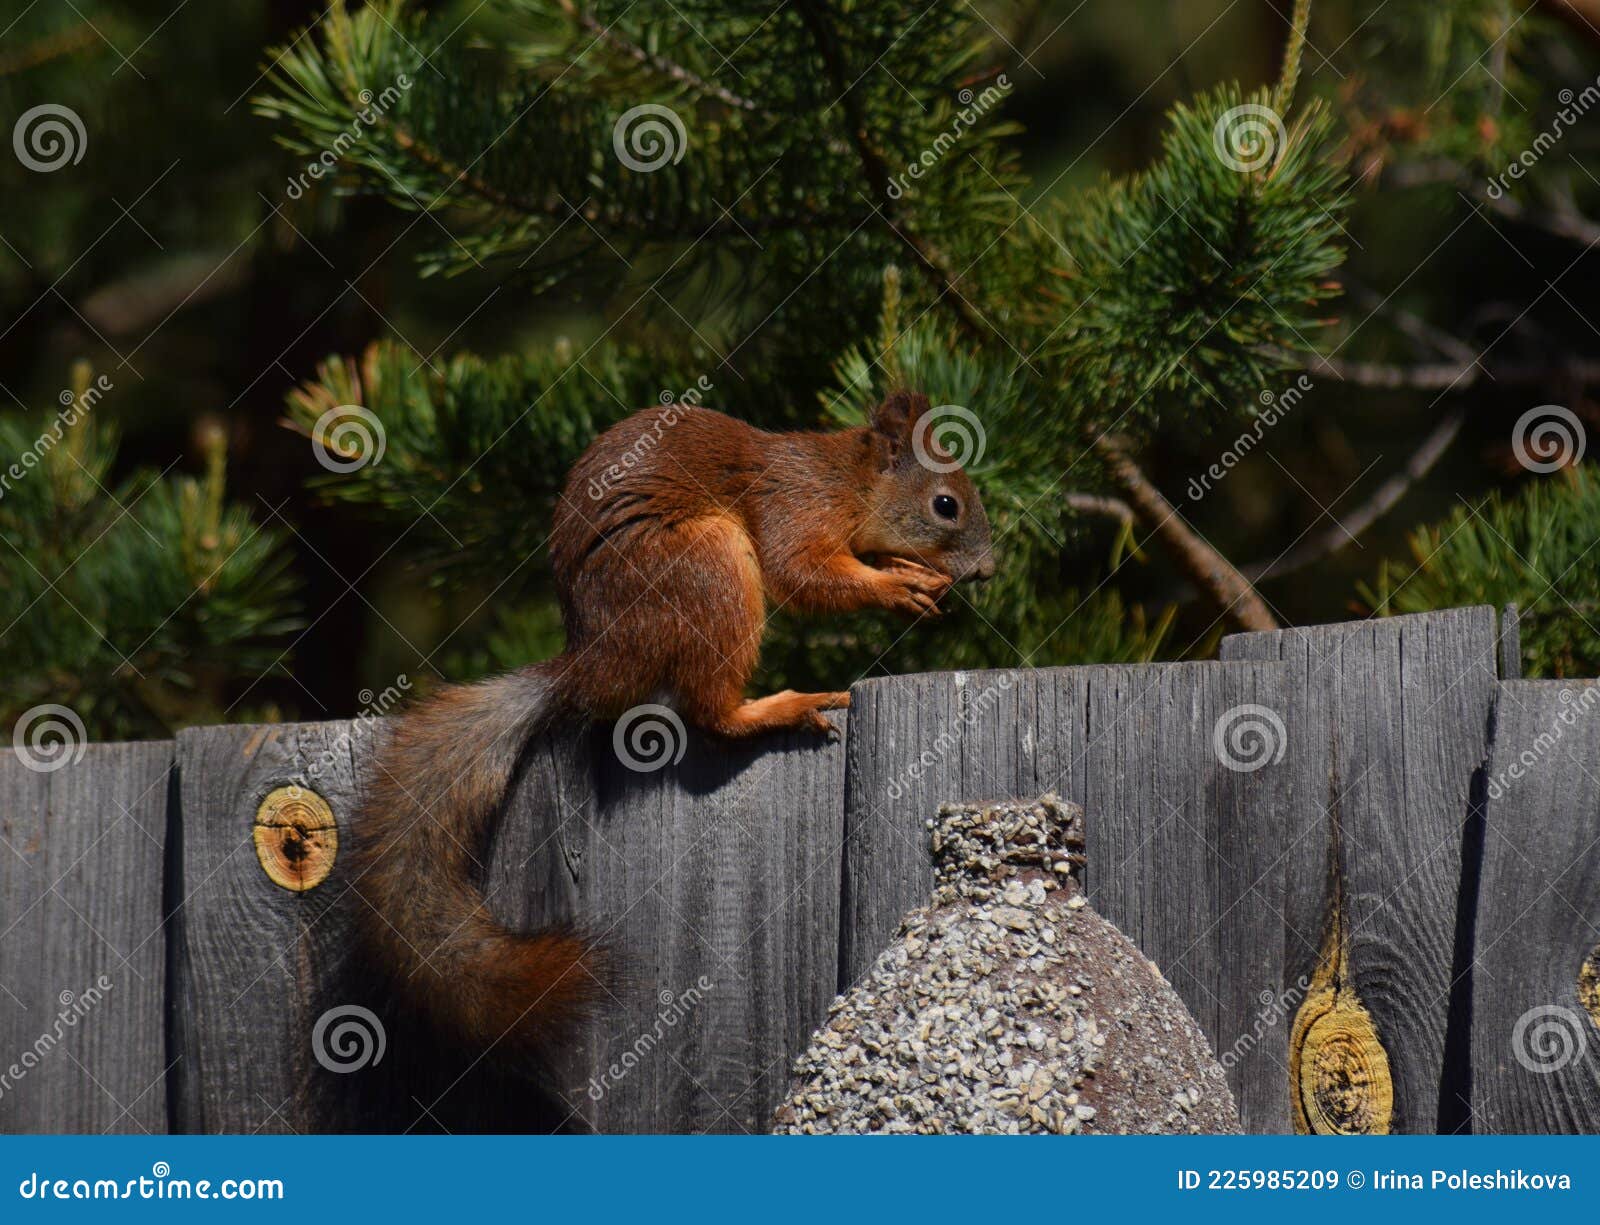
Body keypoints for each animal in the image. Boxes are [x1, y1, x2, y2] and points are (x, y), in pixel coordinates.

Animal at [352, 389, 994, 1059]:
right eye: (945, 505)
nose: (989, 568)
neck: (846, 479)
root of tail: (592, 666)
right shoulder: (795, 508)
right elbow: (799, 573)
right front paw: (897, 583)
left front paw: (902, 567)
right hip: (707, 566)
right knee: (709, 714)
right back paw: (779, 707)